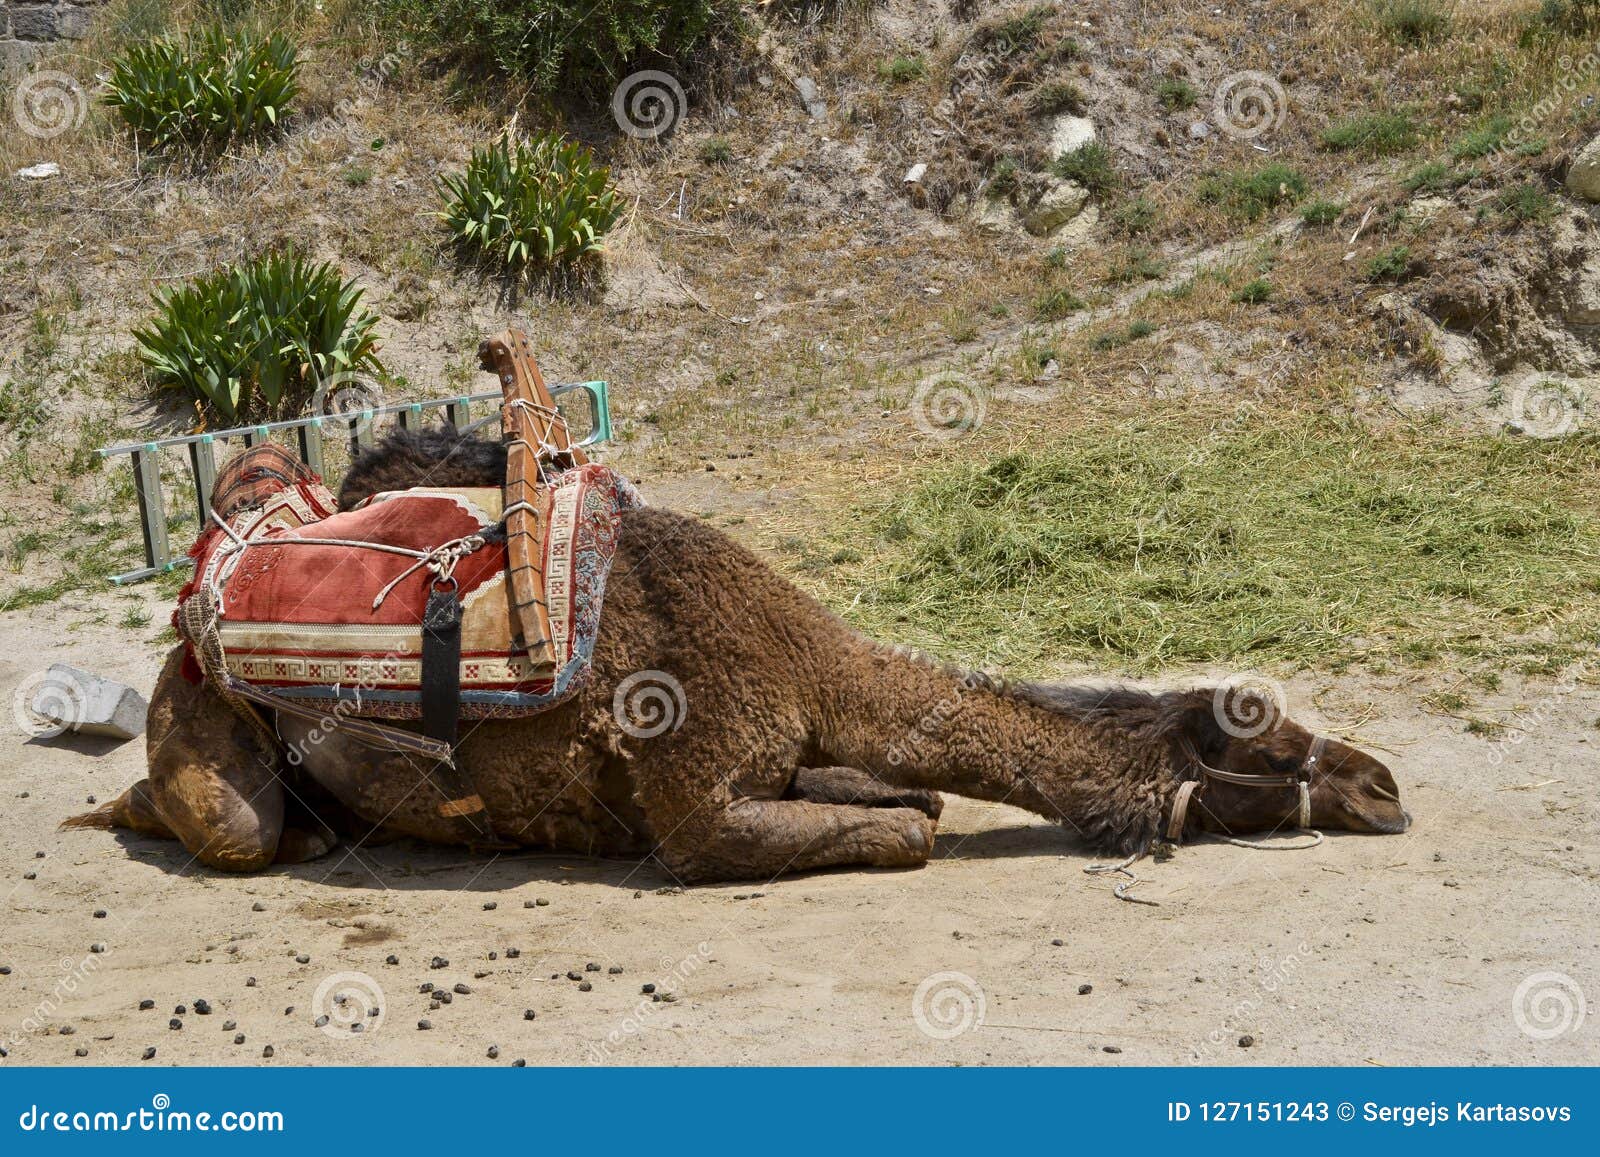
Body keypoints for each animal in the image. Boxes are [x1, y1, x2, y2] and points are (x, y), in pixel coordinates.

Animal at [65, 428, 1410, 882]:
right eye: (1262, 740)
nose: (1385, 784)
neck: (805, 664)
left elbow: (913, 797)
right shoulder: (699, 810)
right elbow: (907, 831)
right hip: (203, 715)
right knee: (229, 821)